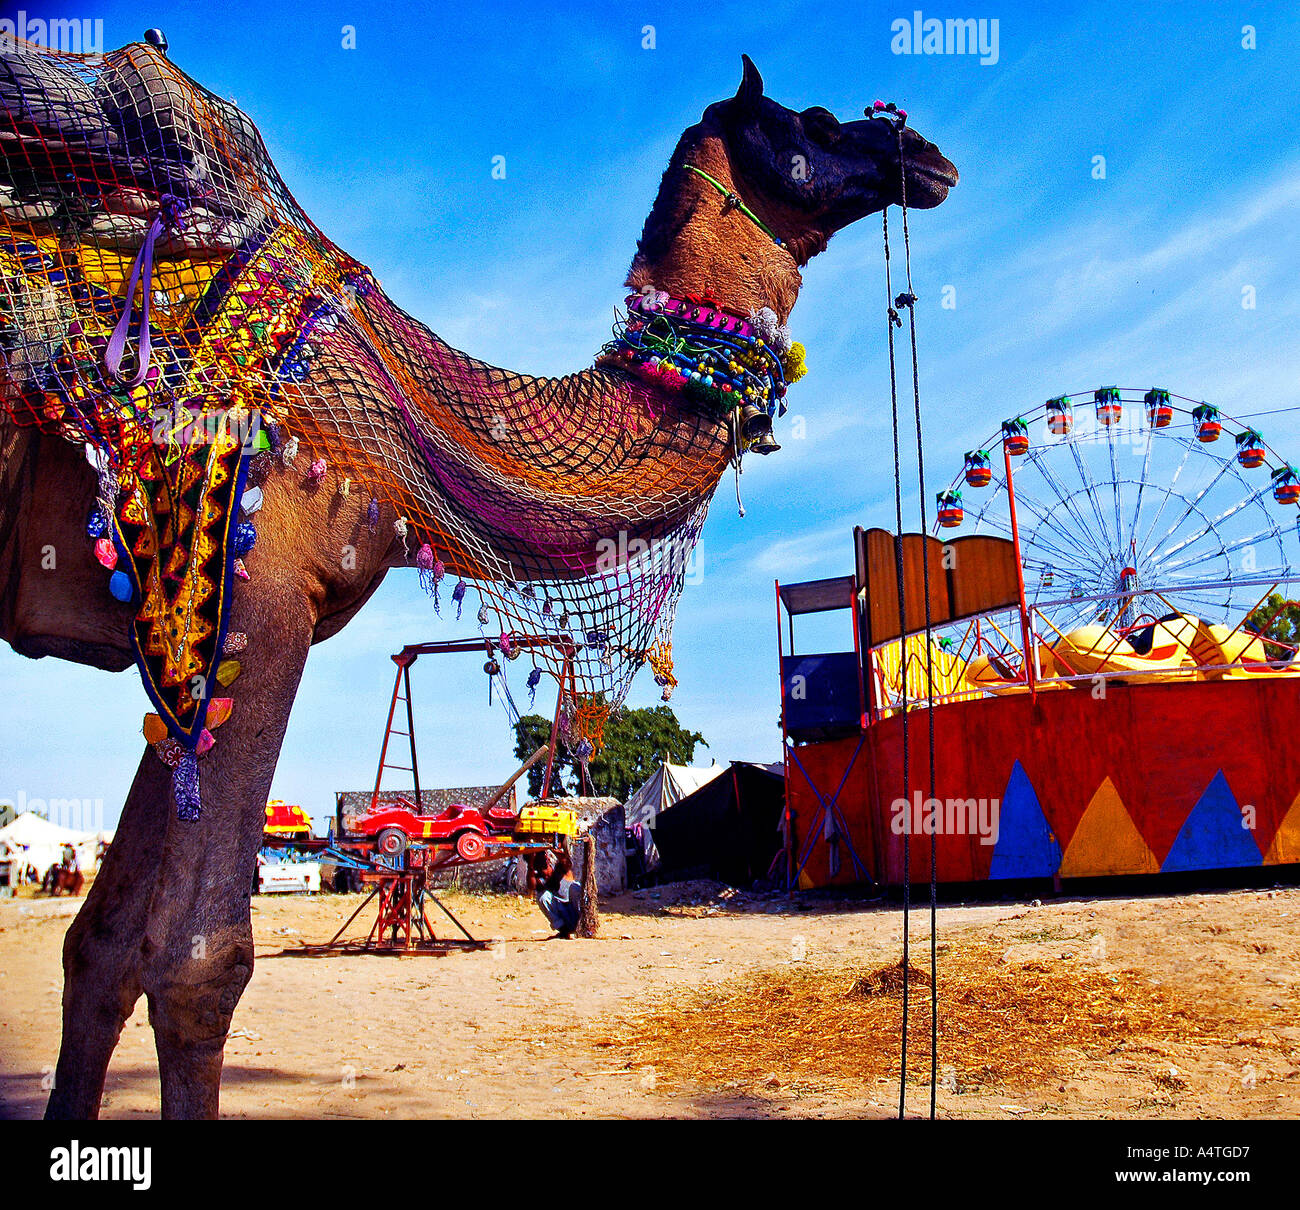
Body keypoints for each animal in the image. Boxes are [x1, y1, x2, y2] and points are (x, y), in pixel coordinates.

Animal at [0, 39, 955, 1117]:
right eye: (817, 121)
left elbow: (103, 949)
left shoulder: (181, 635)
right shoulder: (261, 593)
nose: (921, 153)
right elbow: (200, 961)